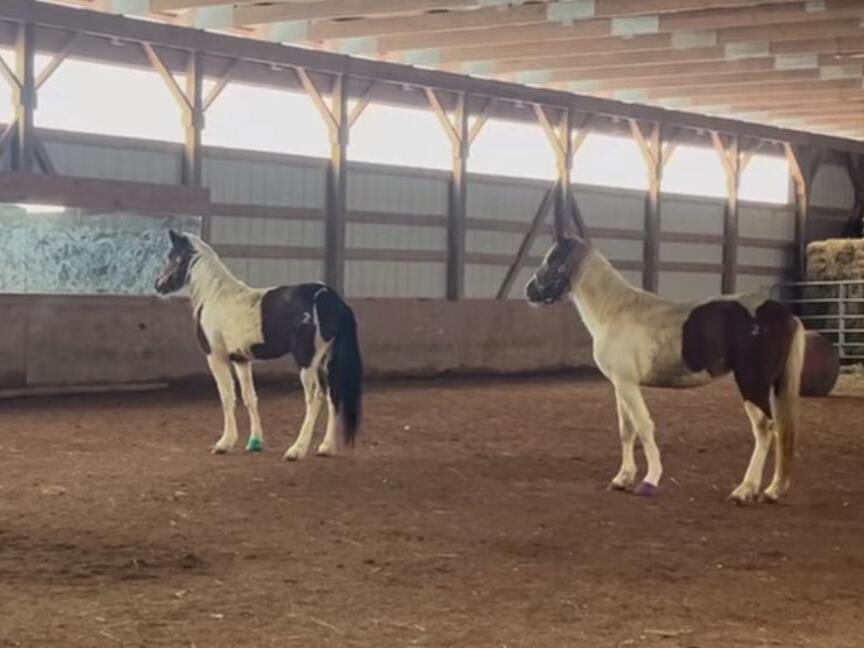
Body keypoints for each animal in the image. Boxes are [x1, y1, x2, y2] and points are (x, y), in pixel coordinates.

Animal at [155, 230, 362, 460]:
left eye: (174, 257)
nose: (158, 284)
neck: (215, 296)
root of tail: (326, 296)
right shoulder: (241, 360)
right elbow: (249, 397)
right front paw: (255, 441)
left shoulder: (216, 357)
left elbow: (227, 397)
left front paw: (224, 443)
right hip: (326, 361)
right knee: (332, 396)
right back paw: (326, 447)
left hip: (307, 360)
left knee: (315, 397)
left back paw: (297, 449)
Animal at [525, 236, 805, 504]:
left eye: (552, 261)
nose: (529, 290)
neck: (615, 311)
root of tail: (785, 315)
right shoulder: (620, 384)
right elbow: (626, 430)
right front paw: (622, 478)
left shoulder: (628, 384)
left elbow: (643, 426)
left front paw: (650, 480)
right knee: (781, 430)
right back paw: (773, 490)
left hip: (751, 383)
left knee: (764, 429)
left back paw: (744, 491)